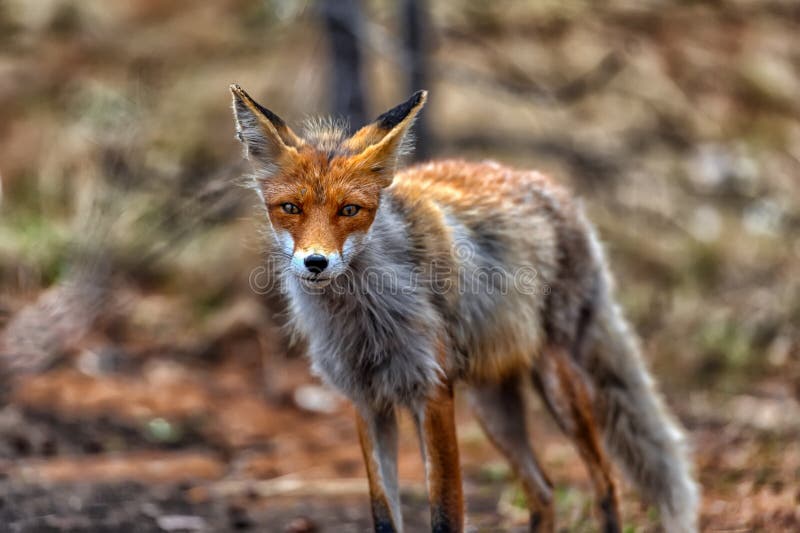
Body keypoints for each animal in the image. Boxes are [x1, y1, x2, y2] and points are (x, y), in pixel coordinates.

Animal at [229, 85, 699, 533]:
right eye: (290, 208)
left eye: (349, 210)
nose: (315, 263)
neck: (362, 320)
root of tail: (558, 192)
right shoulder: (367, 401)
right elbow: (384, 516)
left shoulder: (432, 392)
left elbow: (445, 514)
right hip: (490, 406)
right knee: (544, 492)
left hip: (556, 384)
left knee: (605, 483)